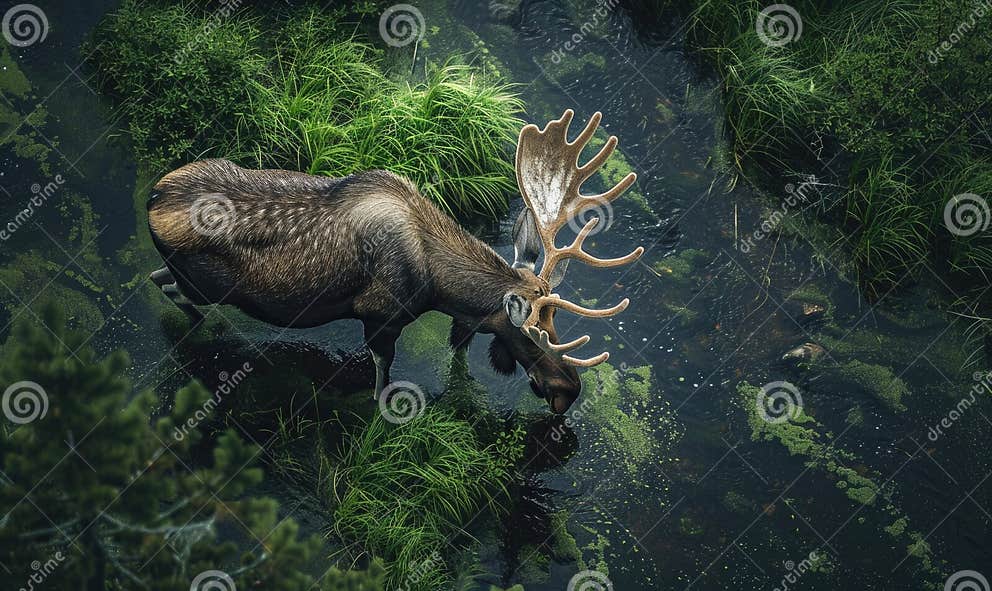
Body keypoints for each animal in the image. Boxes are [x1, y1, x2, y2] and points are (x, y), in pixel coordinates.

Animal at [146, 110, 643, 413]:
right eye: (534, 335)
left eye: (557, 325)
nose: (569, 391)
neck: (442, 288)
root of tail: (153, 197)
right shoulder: (380, 315)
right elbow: (383, 381)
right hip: (202, 283)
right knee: (165, 286)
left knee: (156, 278)